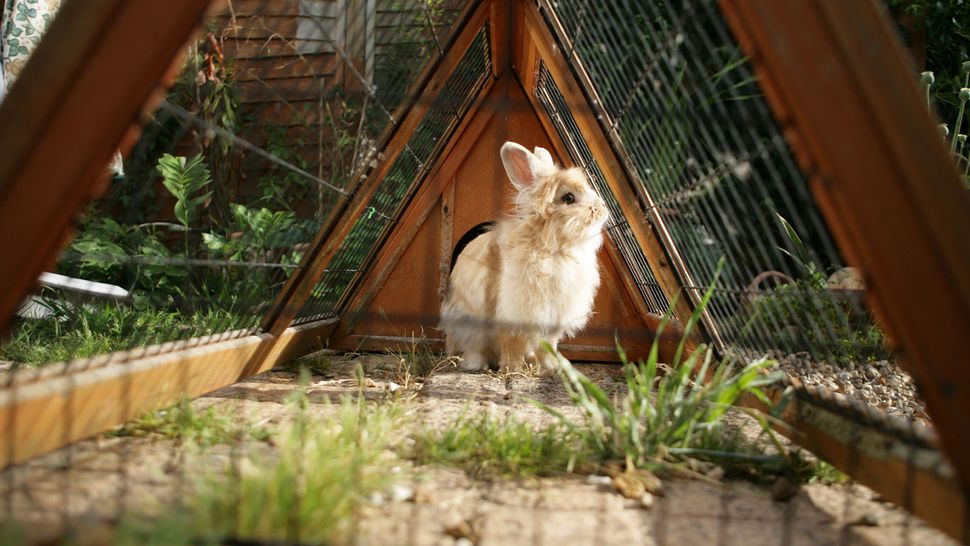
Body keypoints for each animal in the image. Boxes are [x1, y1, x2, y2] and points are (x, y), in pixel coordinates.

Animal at [440, 141, 609, 374]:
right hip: (470, 327)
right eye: (569, 198)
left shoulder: (552, 319)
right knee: (473, 349)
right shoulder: (514, 312)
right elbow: (511, 344)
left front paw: (555, 366)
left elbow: (548, 346)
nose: (603, 209)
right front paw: (512, 370)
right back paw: (477, 365)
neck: (553, 248)